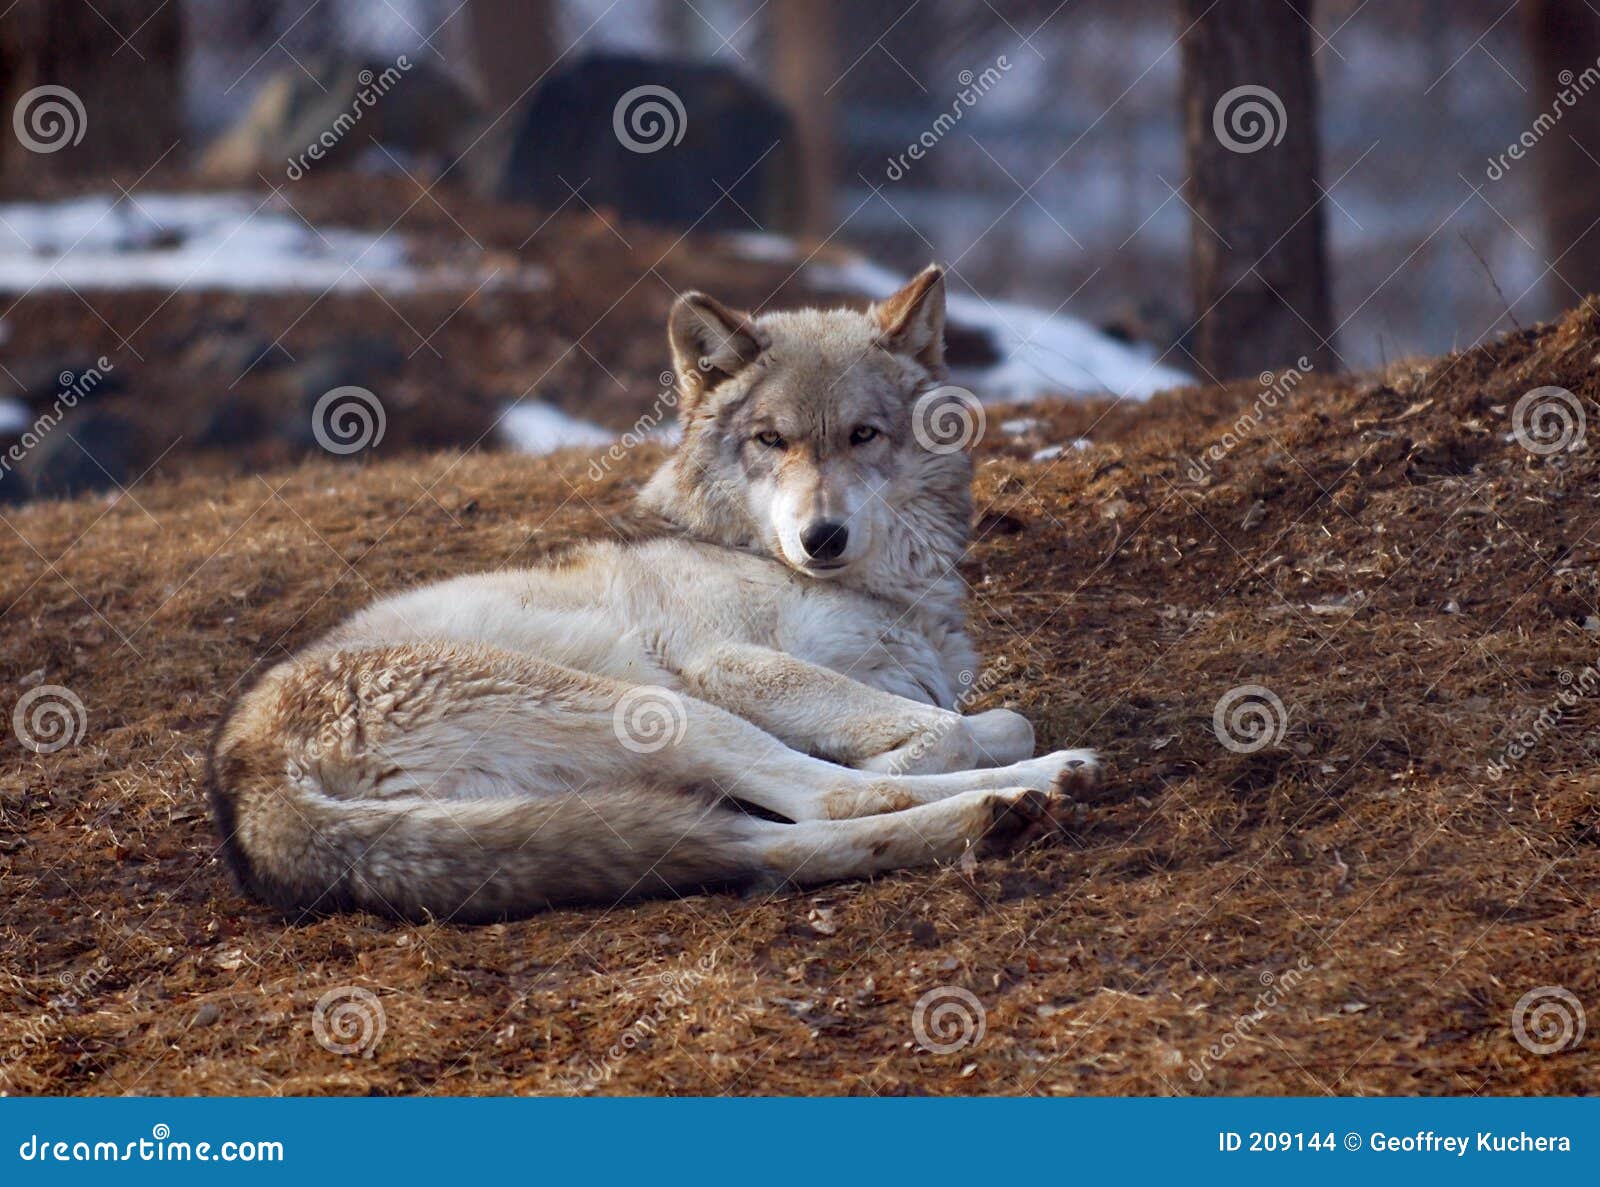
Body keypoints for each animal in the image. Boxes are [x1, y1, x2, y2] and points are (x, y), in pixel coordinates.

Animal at [207, 265, 1099, 922]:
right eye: (769, 440)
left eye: (862, 436)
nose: (822, 538)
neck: (888, 593)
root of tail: (245, 784)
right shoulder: (729, 662)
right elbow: (939, 733)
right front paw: (916, 749)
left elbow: (997, 718)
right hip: (666, 708)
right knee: (827, 797)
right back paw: (1027, 789)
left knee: (770, 845)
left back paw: (1014, 804)